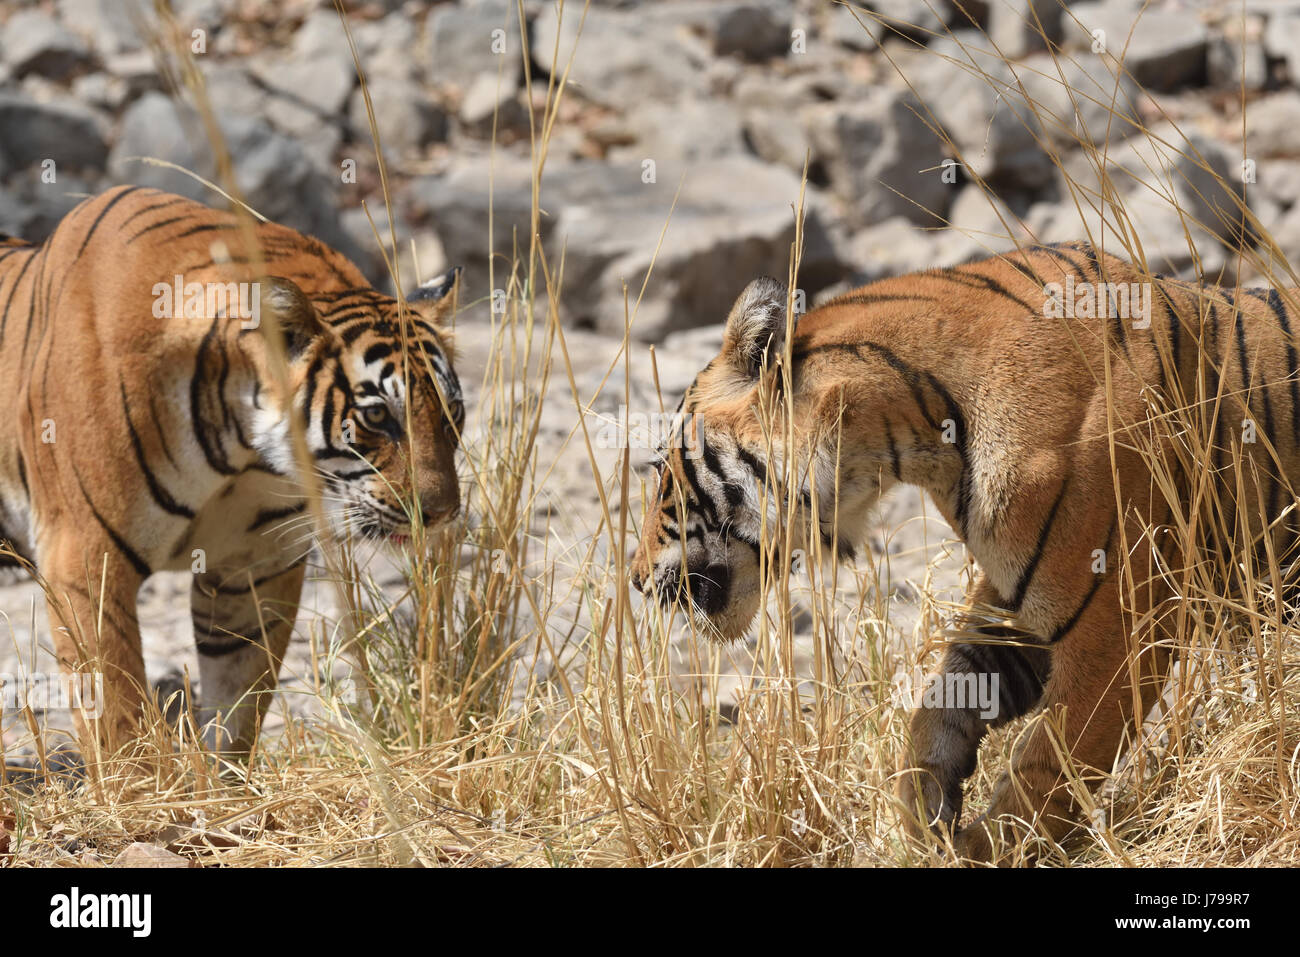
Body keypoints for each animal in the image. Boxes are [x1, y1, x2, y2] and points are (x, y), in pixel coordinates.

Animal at [0, 184, 465, 757]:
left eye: (452, 412)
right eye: (377, 415)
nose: (442, 513)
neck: (243, 454)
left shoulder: (255, 571)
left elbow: (239, 704)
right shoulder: (86, 558)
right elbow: (118, 717)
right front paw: (141, 782)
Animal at [630, 241, 1300, 862]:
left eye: (661, 472)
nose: (634, 580)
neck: (912, 433)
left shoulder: (1119, 625)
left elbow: (1052, 760)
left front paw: (992, 843)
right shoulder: (1018, 601)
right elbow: (940, 705)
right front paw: (927, 806)